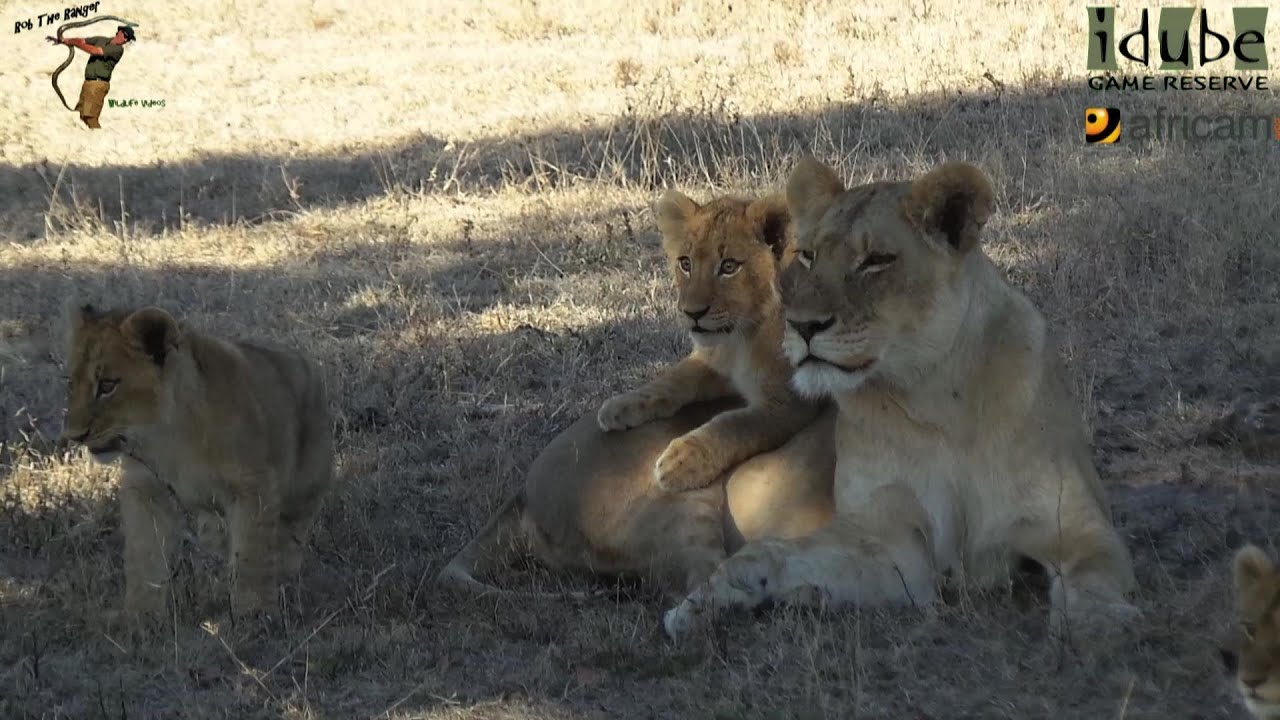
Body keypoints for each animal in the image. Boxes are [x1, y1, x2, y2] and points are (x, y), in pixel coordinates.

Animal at [60, 302, 336, 624]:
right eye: (71, 384)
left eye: (107, 385)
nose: (73, 436)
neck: (169, 436)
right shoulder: (144, 490)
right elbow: (143, 555)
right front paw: (140, 617)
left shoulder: (253, 485)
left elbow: (251, 554)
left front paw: (254, 614)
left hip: (306, 483)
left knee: (290, 535)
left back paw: (287, 578)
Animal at [437, 192, 834, 597]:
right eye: (686, 263)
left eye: (728, 266)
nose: (692, 313)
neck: (744, 335)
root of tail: (523, 497)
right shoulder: (714, 364)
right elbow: (674, 380)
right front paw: (617, 408)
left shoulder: (787, 404)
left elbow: (736, 424)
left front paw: (680, 460)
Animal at [661, 157, 1138, 641]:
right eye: (808, 256)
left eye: (876, 261)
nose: (800, 325)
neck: (934, 397)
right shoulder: (893, 544)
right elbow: (770, 555)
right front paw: (702, 602)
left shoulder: (1073, 524)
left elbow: (1094, 574)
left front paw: (1094, 628)